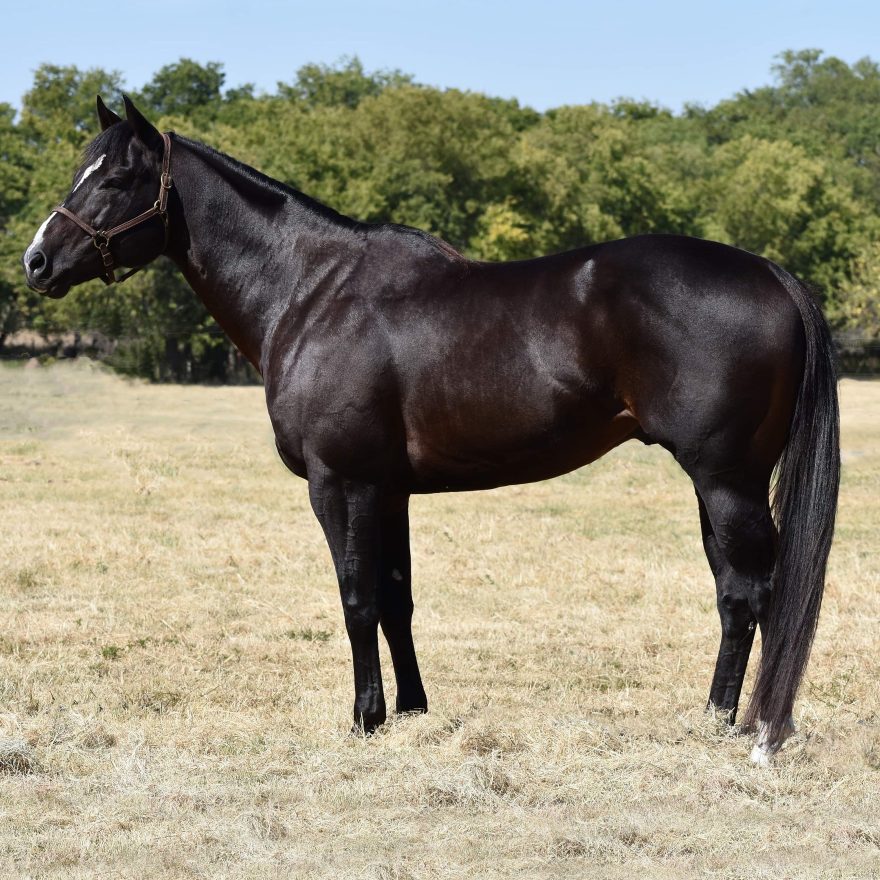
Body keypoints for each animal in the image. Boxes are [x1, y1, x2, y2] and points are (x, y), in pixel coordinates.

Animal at [22, 96, 840, 764]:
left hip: (726, 481)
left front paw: (365, 718)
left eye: (114, 178)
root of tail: (772, 274)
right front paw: (412, 709)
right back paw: (723, 717)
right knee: (737, 595)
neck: (311, 292)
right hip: (719, 484)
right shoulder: (388, 491)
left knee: (752, 593)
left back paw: (749, 728)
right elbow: (395, 598)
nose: (36, 261)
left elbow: (355, 598)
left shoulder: (341, 484)